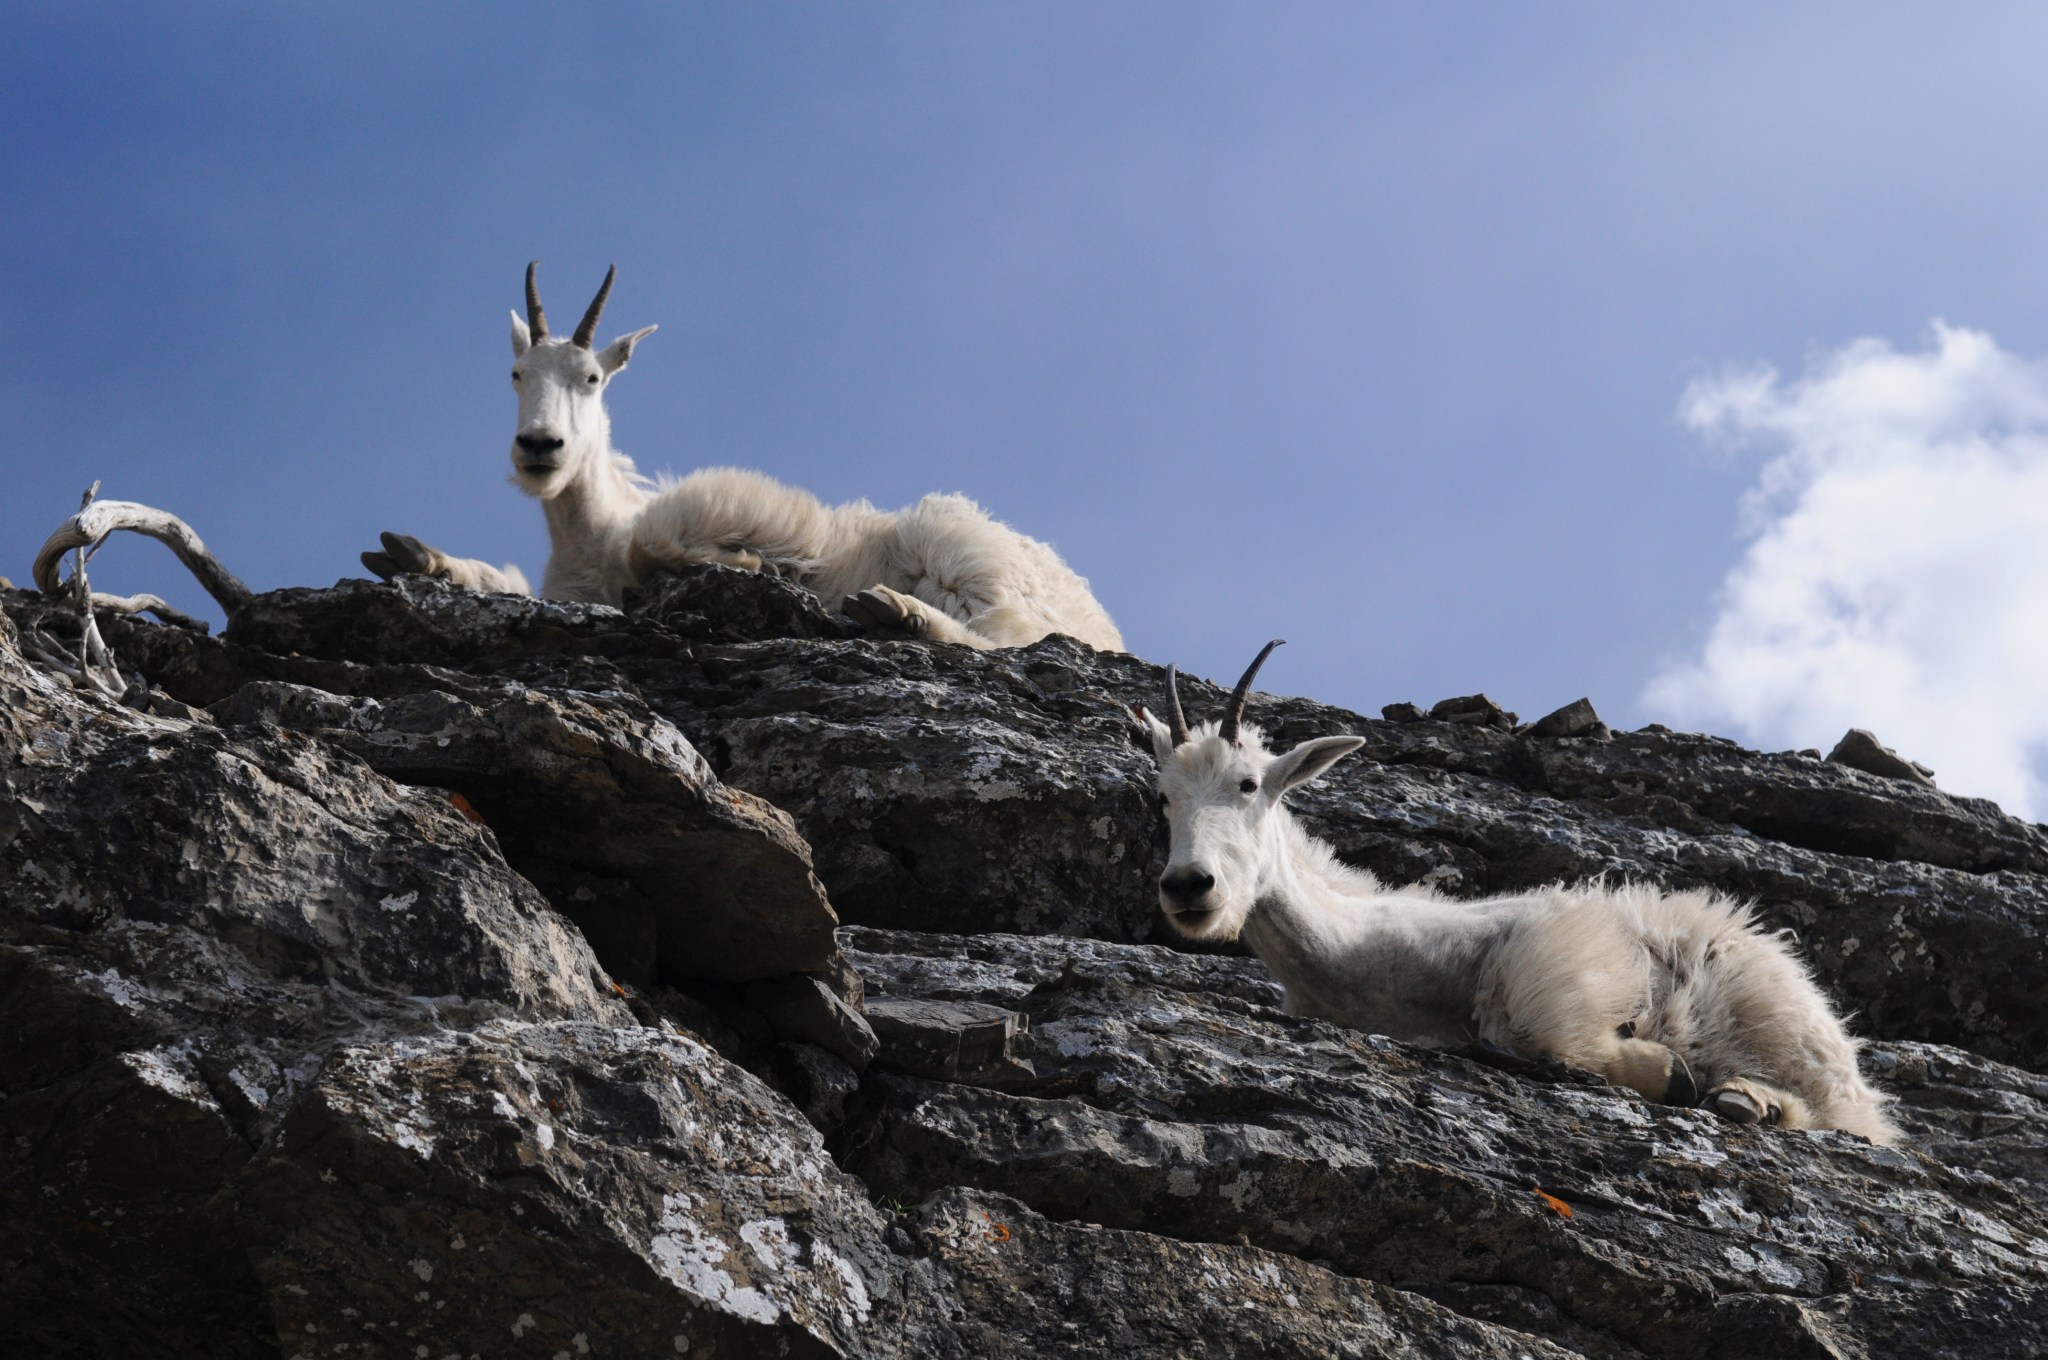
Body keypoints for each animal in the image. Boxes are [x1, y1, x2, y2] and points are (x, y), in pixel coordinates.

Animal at [363, 264, 1123, 652]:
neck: (591, 538)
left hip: (958, 545)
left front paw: (746, 562)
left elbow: (668, 541)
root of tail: (1104, 620)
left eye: (593, 378)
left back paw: (897, 610)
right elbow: (505, 583)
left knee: (1015, 637)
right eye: (516, 374)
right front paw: (416, 555)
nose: (539, 448)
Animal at [1134, 643, 1900, 1144]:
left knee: (1854, 1118)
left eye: (1248, 784)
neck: (1356, 957)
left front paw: (1666, 1070)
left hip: (1774, 1023)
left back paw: (1749, 1099)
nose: (1188, 886)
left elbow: (1530, 1029)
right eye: (1164, 798)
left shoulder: (1545, 955)